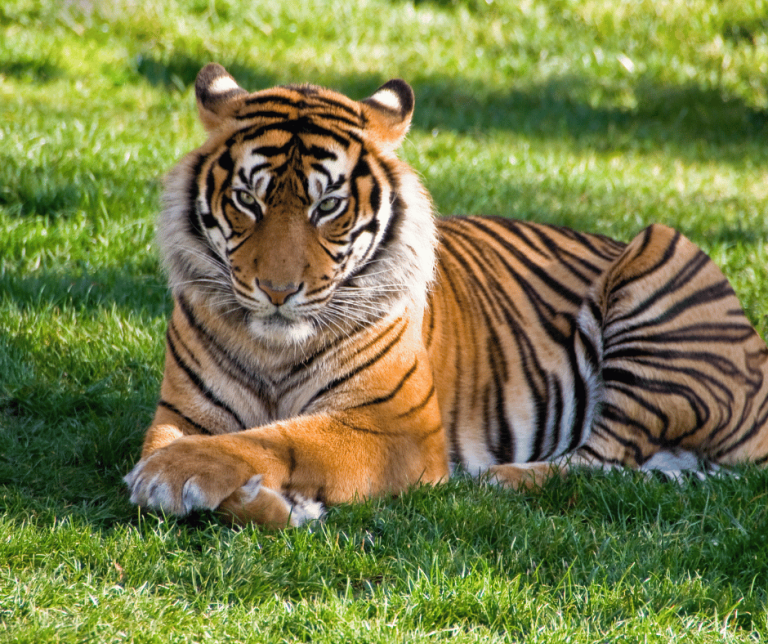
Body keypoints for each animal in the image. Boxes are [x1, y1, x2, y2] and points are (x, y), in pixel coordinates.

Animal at [124, 63, 768, 527]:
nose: (278, 292)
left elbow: (280, 437)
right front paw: (268, 501)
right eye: (247, 200)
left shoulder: (396, 427)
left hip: (661, 257)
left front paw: (176, 474)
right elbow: (184, 443)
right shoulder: (182, 410)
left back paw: (505, 478)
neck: (275, 347)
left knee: (602, 456)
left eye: (327, 206)